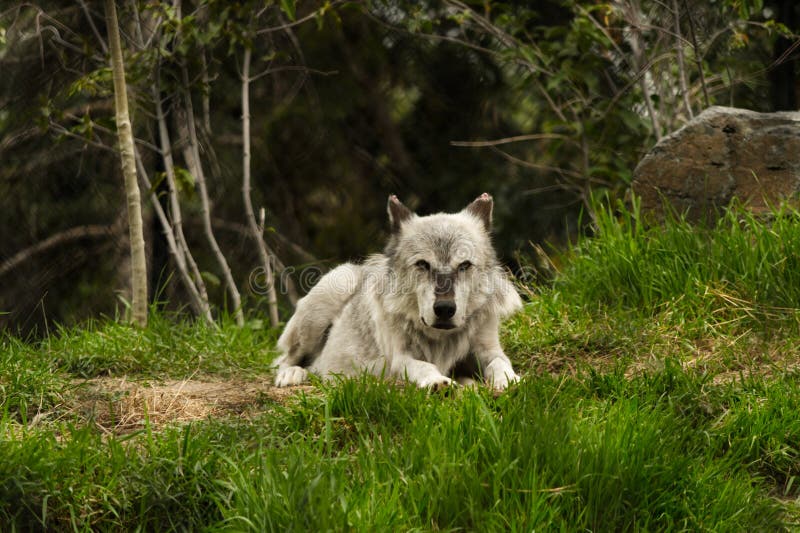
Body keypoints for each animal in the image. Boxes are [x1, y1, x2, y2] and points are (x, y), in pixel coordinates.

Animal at [273, 193, 523, 390]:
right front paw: (437, 382)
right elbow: (423, 365)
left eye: (464, 265)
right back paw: (291, 374)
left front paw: (509, 380)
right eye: (423, 264)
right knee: (286, 360)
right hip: (331, 293)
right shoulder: (400, 358)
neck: (441, 338)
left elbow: (500, 362)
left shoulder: (488, 348)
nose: (444, 308)